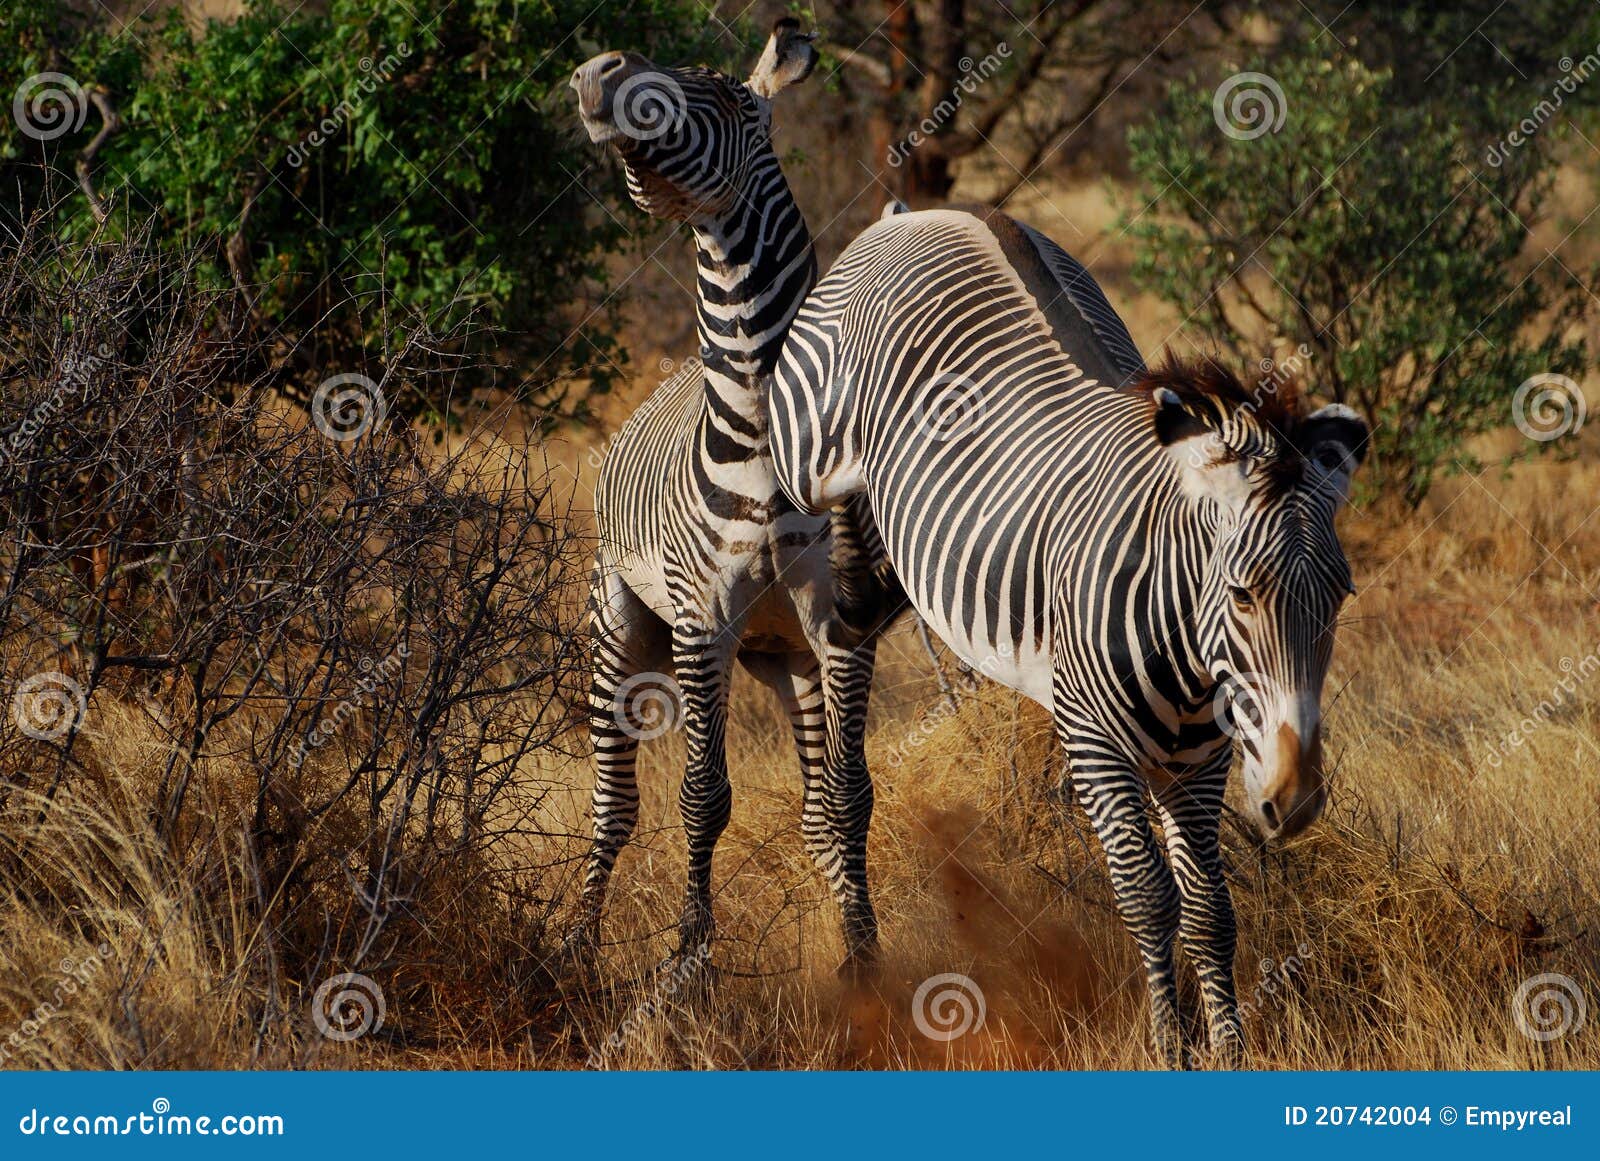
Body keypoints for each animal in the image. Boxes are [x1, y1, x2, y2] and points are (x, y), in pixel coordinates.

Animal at [567, 21, 897, 967]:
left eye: (716, 91)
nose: (593, 73)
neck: (761, 423)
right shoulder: (700, 620)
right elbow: (702, 795)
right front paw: (689, 960)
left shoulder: (841, 622)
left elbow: (849, 797)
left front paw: (866, 963)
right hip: (619, 626)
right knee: (613, 804)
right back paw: (576, 947)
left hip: (786, 658)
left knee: (818, 812)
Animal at [768, 204, 1369, 1065]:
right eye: (1242, 594)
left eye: (1339, 599)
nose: (1294, 800)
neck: (1192, 656)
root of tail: (917, 214)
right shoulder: (1096, 745)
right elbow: (1149, 898)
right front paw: (1169, 1047)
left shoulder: (1201, 763)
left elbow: (1209, 908)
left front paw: (1229, 1048)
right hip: (805, 456)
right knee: (817, 569)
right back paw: (861, 959)